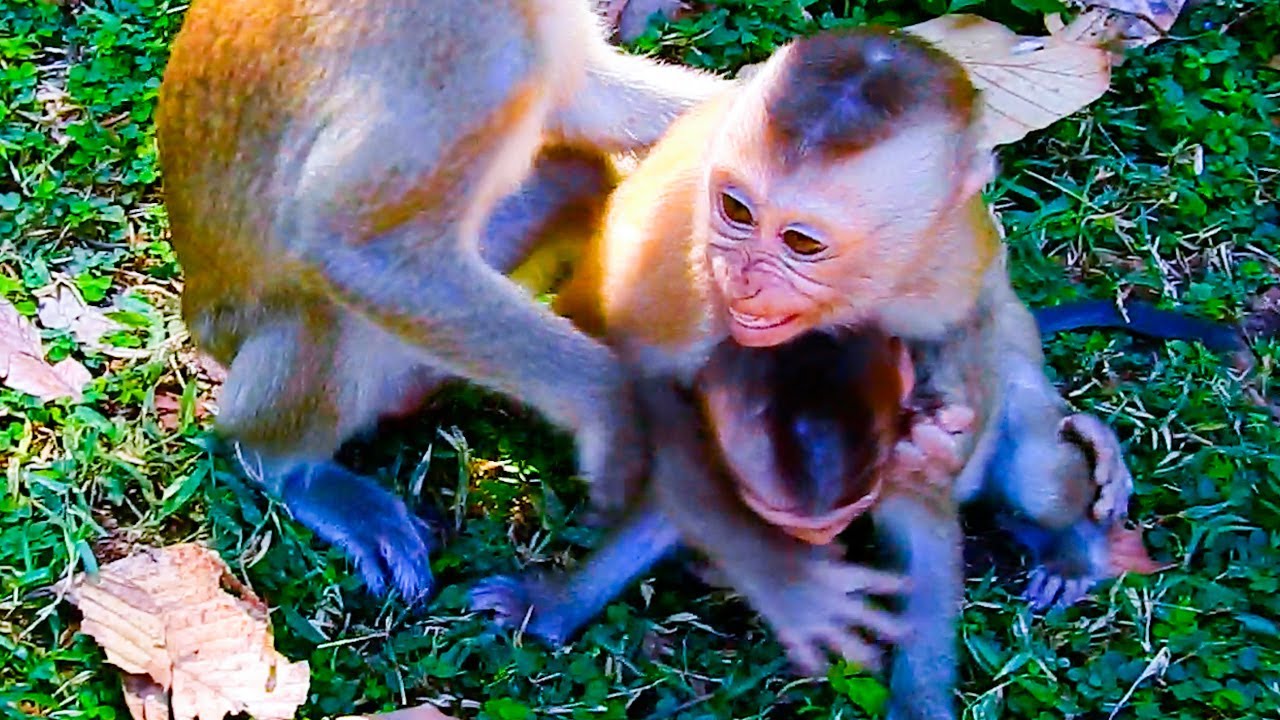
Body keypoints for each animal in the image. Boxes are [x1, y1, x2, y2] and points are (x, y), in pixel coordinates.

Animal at [155, 0, 736, 603]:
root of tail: (202, 322)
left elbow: (588, 97)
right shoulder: (450, 44)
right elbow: (349, 244)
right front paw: (615, 412)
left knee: (574, 170)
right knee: (331, 310)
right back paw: (288, 468)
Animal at [469, 25, 1248, 718]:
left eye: (803, 242)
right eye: (735, 210)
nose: (746, 278)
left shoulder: (945, 257)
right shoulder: (676, 281)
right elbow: (655, 426)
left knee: (1026, 451)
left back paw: (1071, 541)